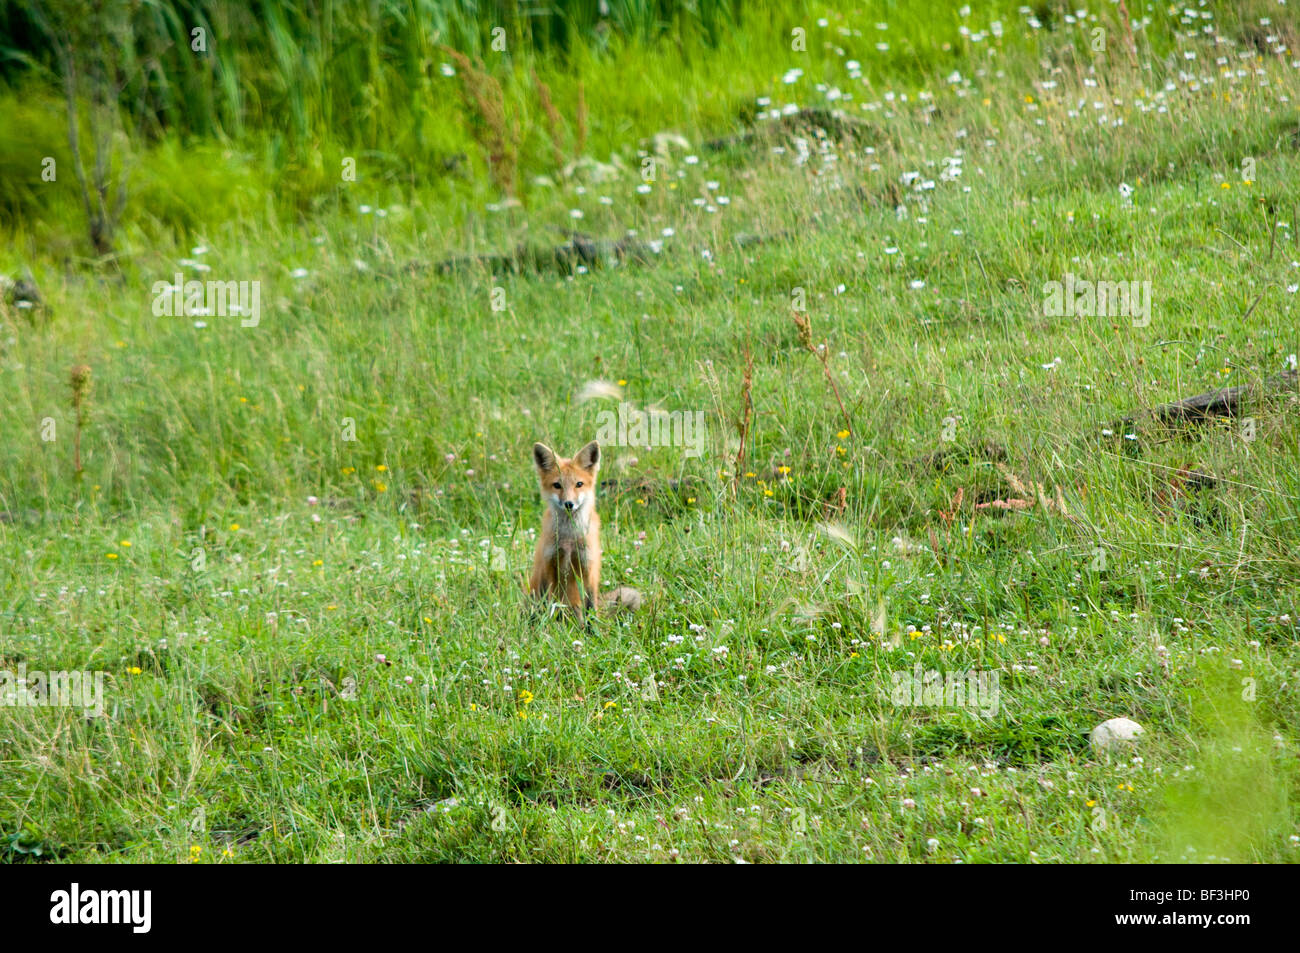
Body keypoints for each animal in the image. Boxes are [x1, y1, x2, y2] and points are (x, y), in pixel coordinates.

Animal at [528, 440, 642, 618]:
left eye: (579, 484)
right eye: (557, 485)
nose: (569, 504)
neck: (569, 540)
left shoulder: (587, 567)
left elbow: (590, 606)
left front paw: (592, 626)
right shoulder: (549, 565)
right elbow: (549, 603)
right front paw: (545, 623)